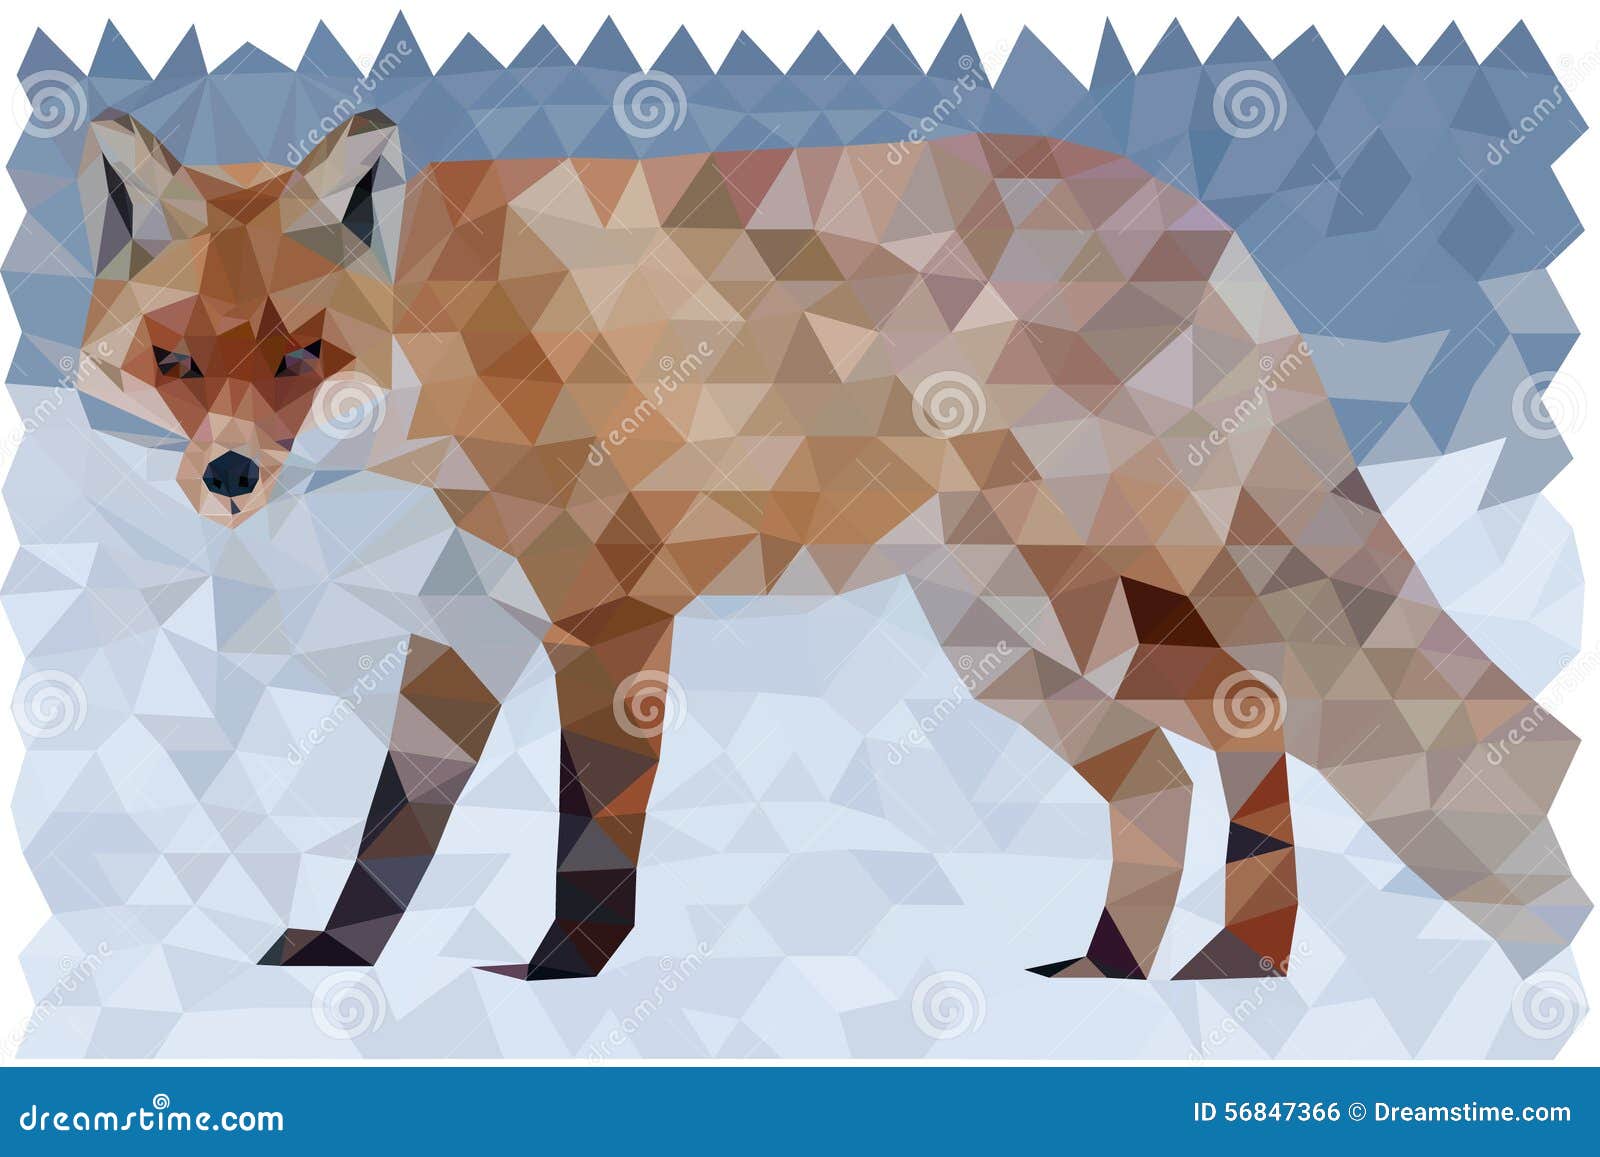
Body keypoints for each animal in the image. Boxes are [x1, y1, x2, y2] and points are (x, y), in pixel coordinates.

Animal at [74, 108, 1587, 982]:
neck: (450, 350)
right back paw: (1114, 969)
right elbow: (399, 816)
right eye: (176, 360)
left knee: (1261, 710)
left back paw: (1246, 963)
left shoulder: (610, 606)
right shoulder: (463, 622)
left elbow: (594, 817)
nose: (228, 475)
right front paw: (339, 954)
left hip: (1096, 606)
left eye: (300, 356)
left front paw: (568, 971)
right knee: (1168, 768)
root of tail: (1193, 213)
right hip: (1011, 644)